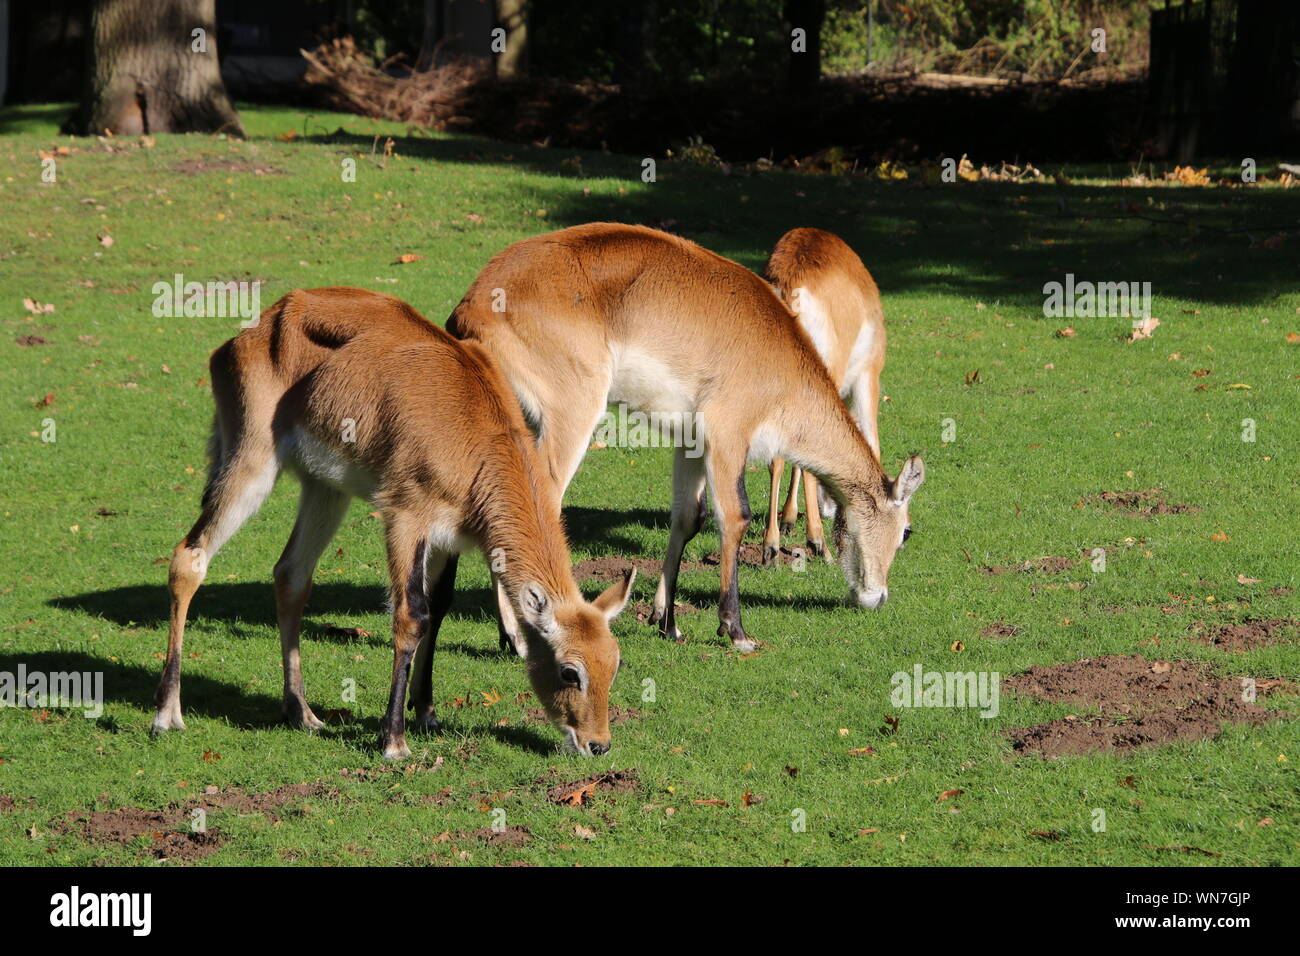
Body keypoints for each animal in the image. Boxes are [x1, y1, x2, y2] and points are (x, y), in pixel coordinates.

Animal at [152, 287, 635, 760]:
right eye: (570, 671)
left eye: (615, 663)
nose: (598, 744)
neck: (479, 442)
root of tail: (257, 327)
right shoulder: (405, 518)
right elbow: (411, 615)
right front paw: (393, 740)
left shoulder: (448, 537)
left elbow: (439, 606)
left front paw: (427, 713)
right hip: (251, 463)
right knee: (188, 558)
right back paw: (167, 715)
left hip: (325, 490)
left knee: (291, 575)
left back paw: (302, 713)